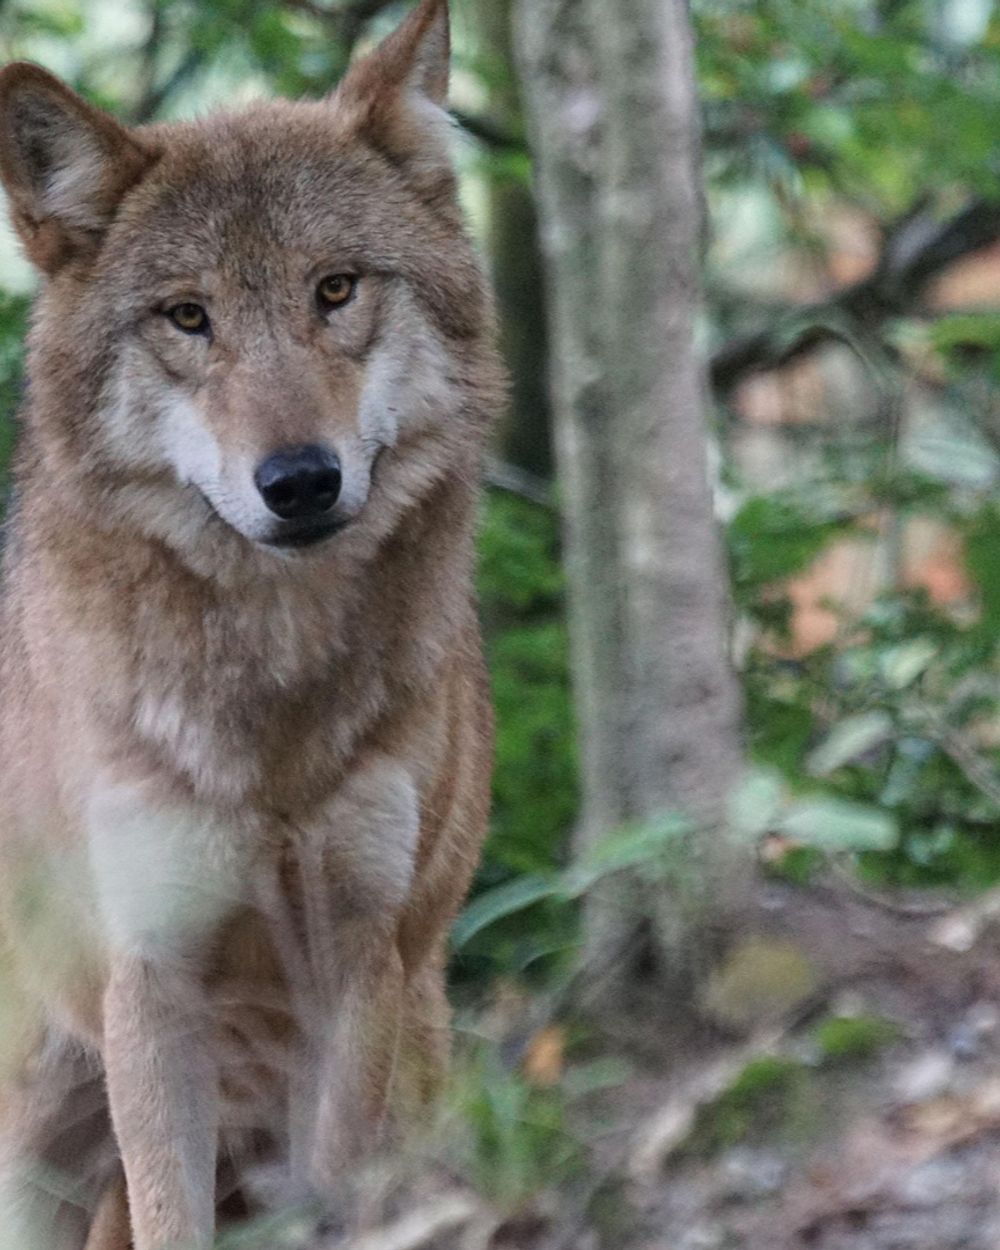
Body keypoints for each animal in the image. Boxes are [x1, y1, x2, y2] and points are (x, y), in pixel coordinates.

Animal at [0, 1, 503, 1245]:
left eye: (335, 289)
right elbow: (172, 1216)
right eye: (190, 316)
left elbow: (332, 1197)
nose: (300, 480)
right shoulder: (152, 983)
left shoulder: (357, 964)